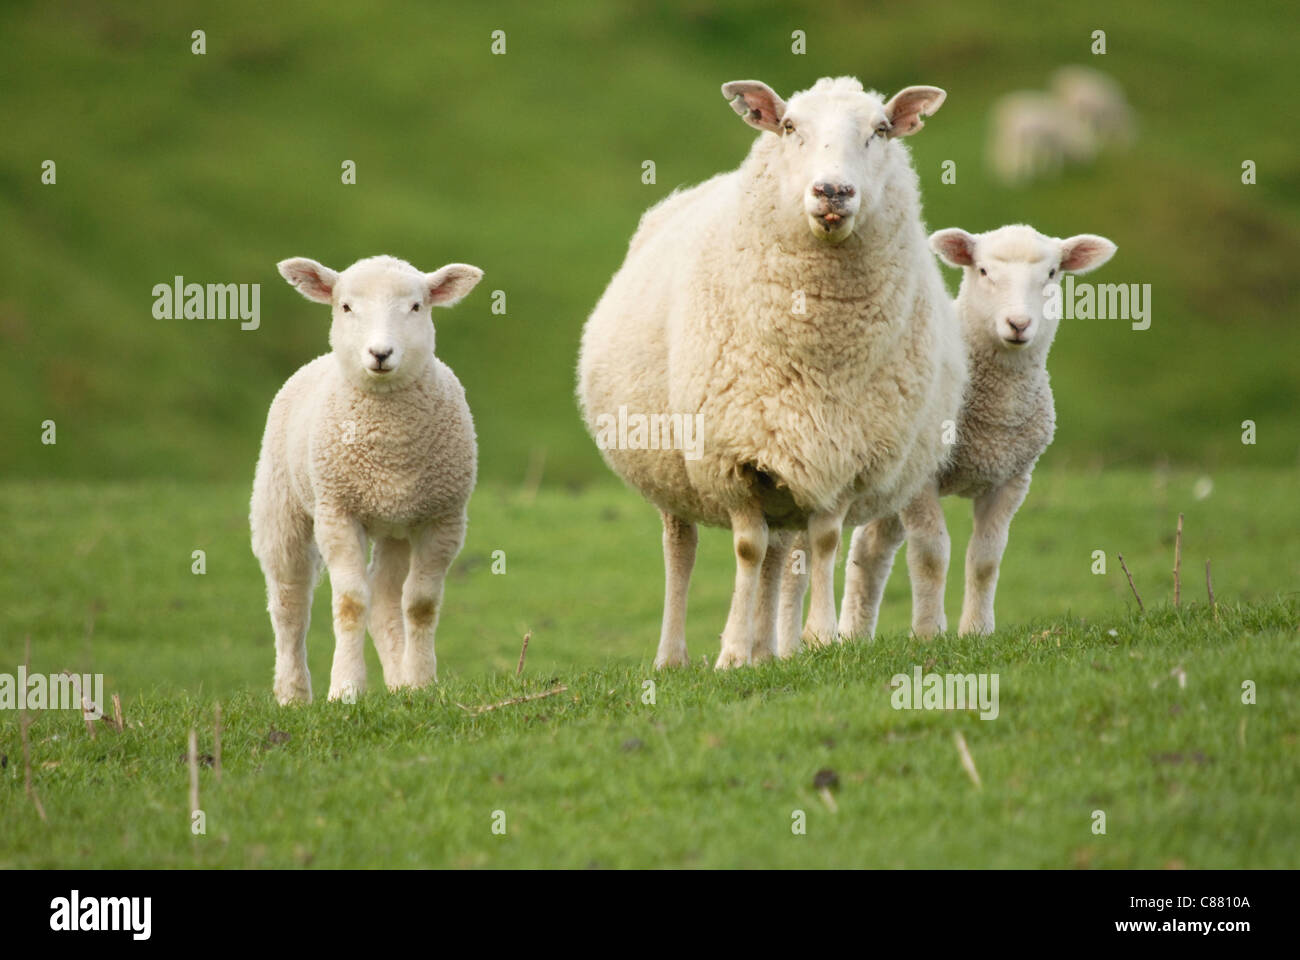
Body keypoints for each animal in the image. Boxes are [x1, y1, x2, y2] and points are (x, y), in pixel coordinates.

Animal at [251, 254, 482, 704]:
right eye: (345, 307)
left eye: (416, 306)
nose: (380, 353)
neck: (389, 445)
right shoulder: (338, 512)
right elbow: (350, 603)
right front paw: (345, 689)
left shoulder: (443, 516)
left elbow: (421, 603)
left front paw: (421, 683)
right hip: (280, 504)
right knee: (289, 601)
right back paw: (292, 695)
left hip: (396, 525)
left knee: (387, 597)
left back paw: (399, 682)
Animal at [577, 76, 966, 669]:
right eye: (788, 127)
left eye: (881, 130)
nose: (833, 191)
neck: (819, 355)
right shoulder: (730, 458)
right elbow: (745, 548)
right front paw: (732, 654)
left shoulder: (840, 454)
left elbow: (823, 543)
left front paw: (817, 638)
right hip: (674, 469)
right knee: (682, 552)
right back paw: (674, 655)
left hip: (784, 471)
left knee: (778, 556)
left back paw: (768, 651)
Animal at [837, 224, 1116, 640]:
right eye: (983, 271)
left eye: (1052, 273)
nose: (1019, 324)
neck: (996, 413)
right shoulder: (924, 481)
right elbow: (931, 555)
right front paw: (928, 633)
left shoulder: (1012, 478)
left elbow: (986, 558)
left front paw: (977, 631)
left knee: (867, 551)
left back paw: (851, 637)